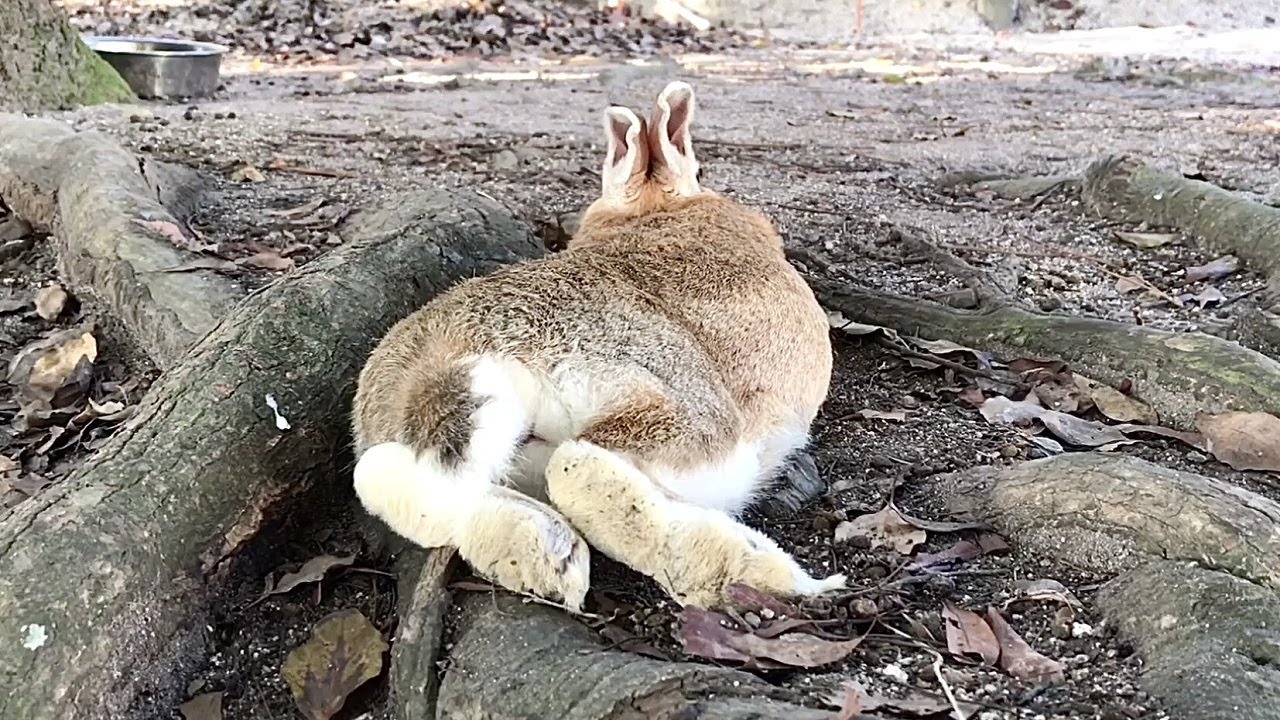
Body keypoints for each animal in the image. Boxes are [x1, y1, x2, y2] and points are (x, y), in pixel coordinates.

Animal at [351, 81, 844, 613]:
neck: (652, 211)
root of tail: (449, 353)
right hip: (674, 395)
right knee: (578, 462)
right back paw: (754, 571)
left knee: (396, 482)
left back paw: (542, 554)